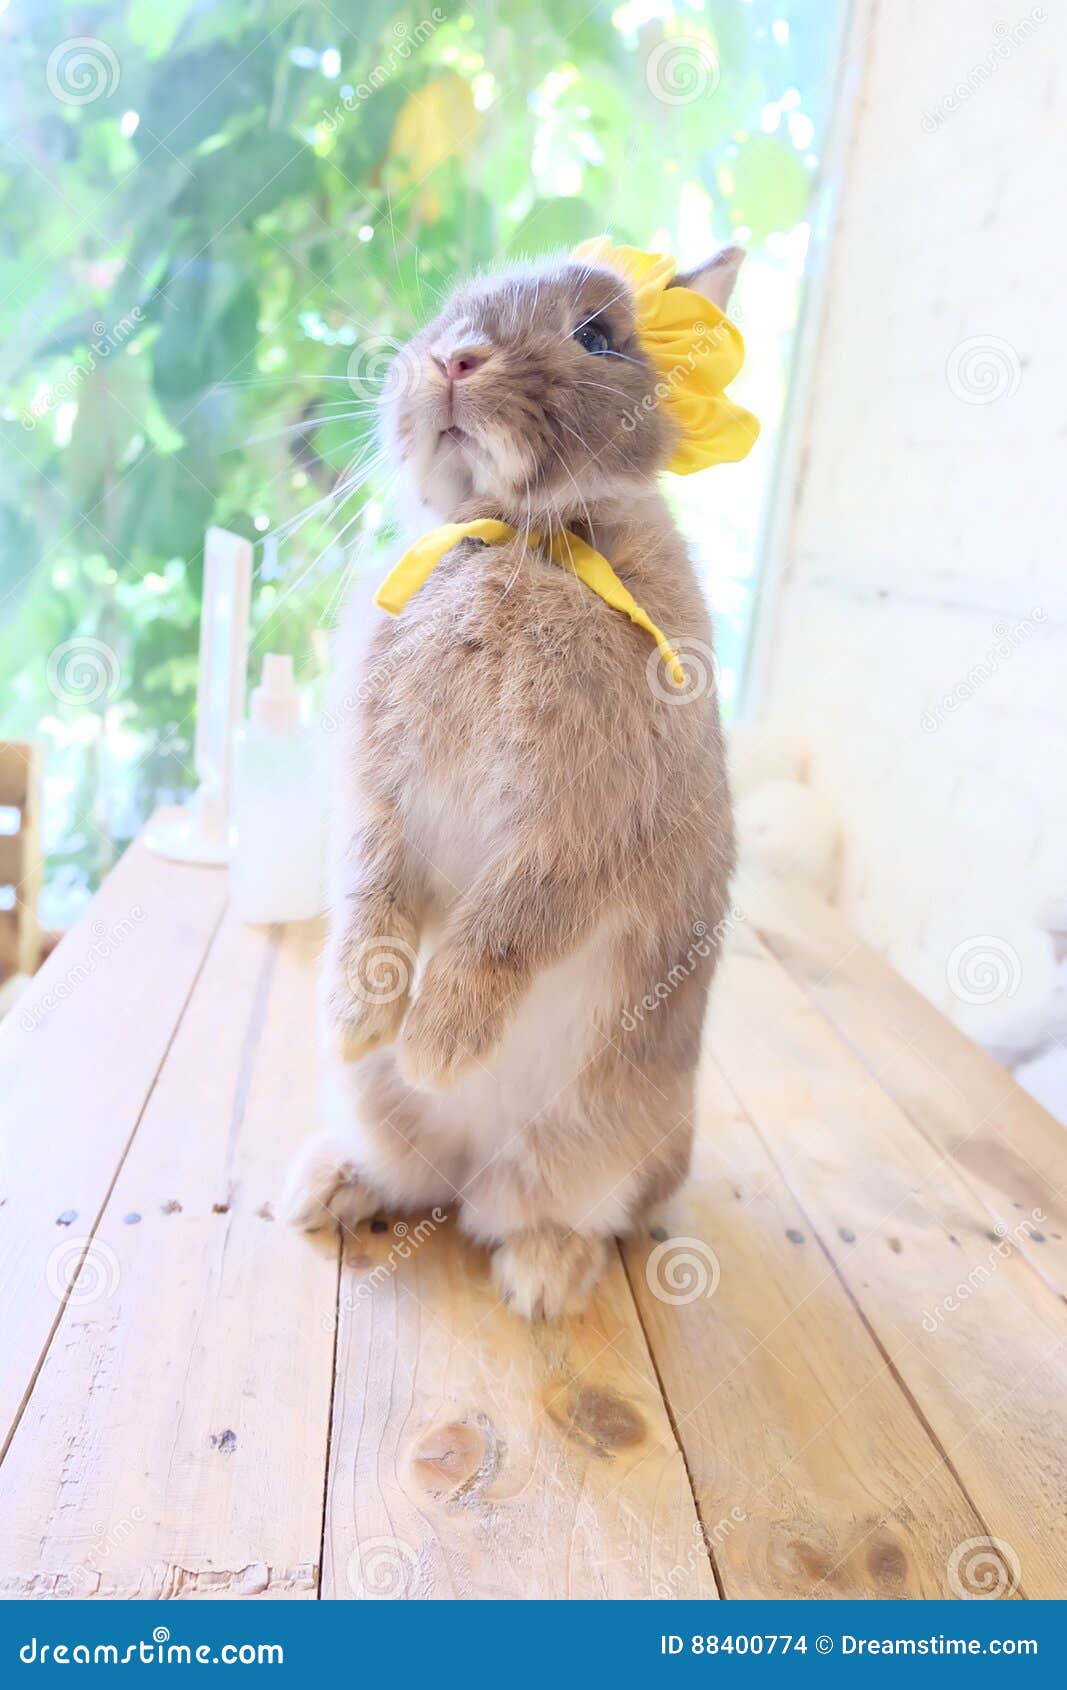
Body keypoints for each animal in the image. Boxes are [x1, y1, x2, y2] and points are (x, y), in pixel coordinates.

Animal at [283, 243, 744, 1319]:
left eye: (597, 338)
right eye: (449, 311)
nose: (455, 359)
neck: (515, 536)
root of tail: (467, 1165)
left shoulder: (581, 831)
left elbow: (506, 929)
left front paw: (435, 1046)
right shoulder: (375, 794)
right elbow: (370, 888)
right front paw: (363, 1018)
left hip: (605, 1150)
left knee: (562, 1215)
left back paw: (542, 1278)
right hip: (372, 1115)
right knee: (405, 1175)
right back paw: (326, 1186)